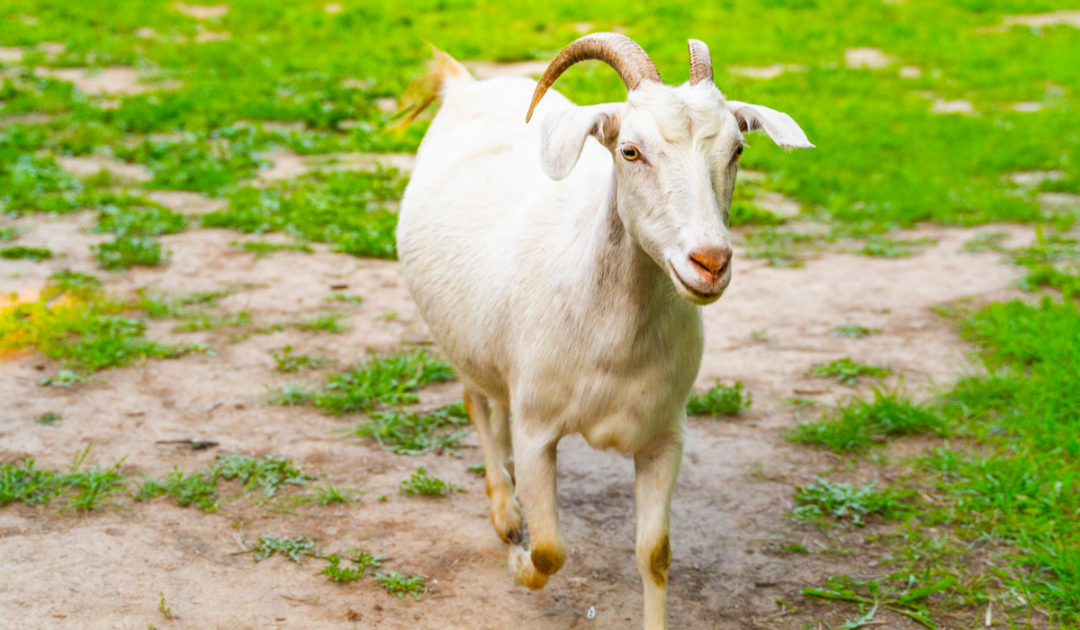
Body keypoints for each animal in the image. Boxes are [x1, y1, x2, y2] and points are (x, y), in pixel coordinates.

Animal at [396, 33, 813, 629]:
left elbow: (654, 555)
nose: (710, 262)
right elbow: (550, 550)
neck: (610, 343)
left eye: (737, 149)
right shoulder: (540, 429)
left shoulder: (665, 435)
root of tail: (464, 84)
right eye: (630, 151)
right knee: (475, 400)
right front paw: (519, 560)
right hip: (459, 336)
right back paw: (505, 512)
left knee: (497, 403)